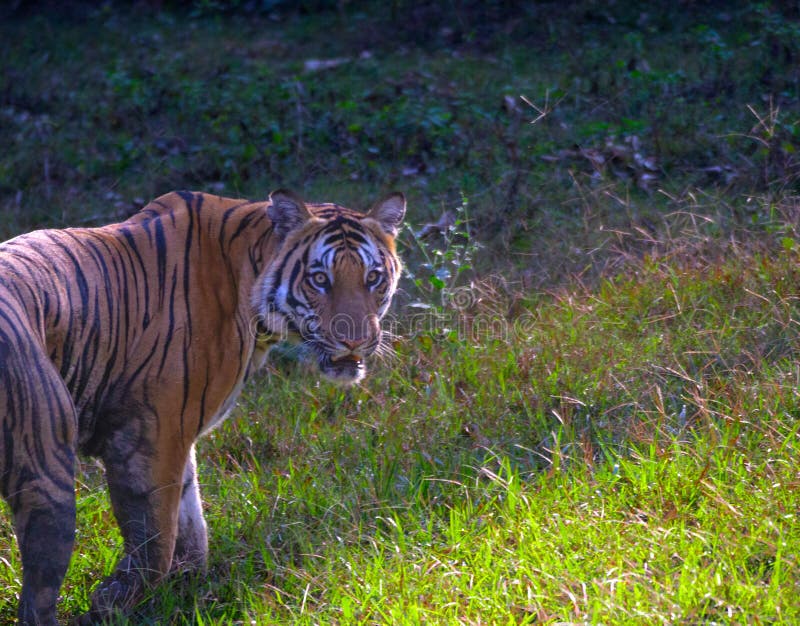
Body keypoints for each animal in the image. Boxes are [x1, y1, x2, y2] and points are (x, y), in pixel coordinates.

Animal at [0, 188, 405, 625]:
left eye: (373, 277)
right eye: (319, 279)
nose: (355, 340)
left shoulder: (177, 433)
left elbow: (191, 522)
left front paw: (190, 590)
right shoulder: (151, 433)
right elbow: (155, 534)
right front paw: (115, 600)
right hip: (46, 467)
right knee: (39, 593)